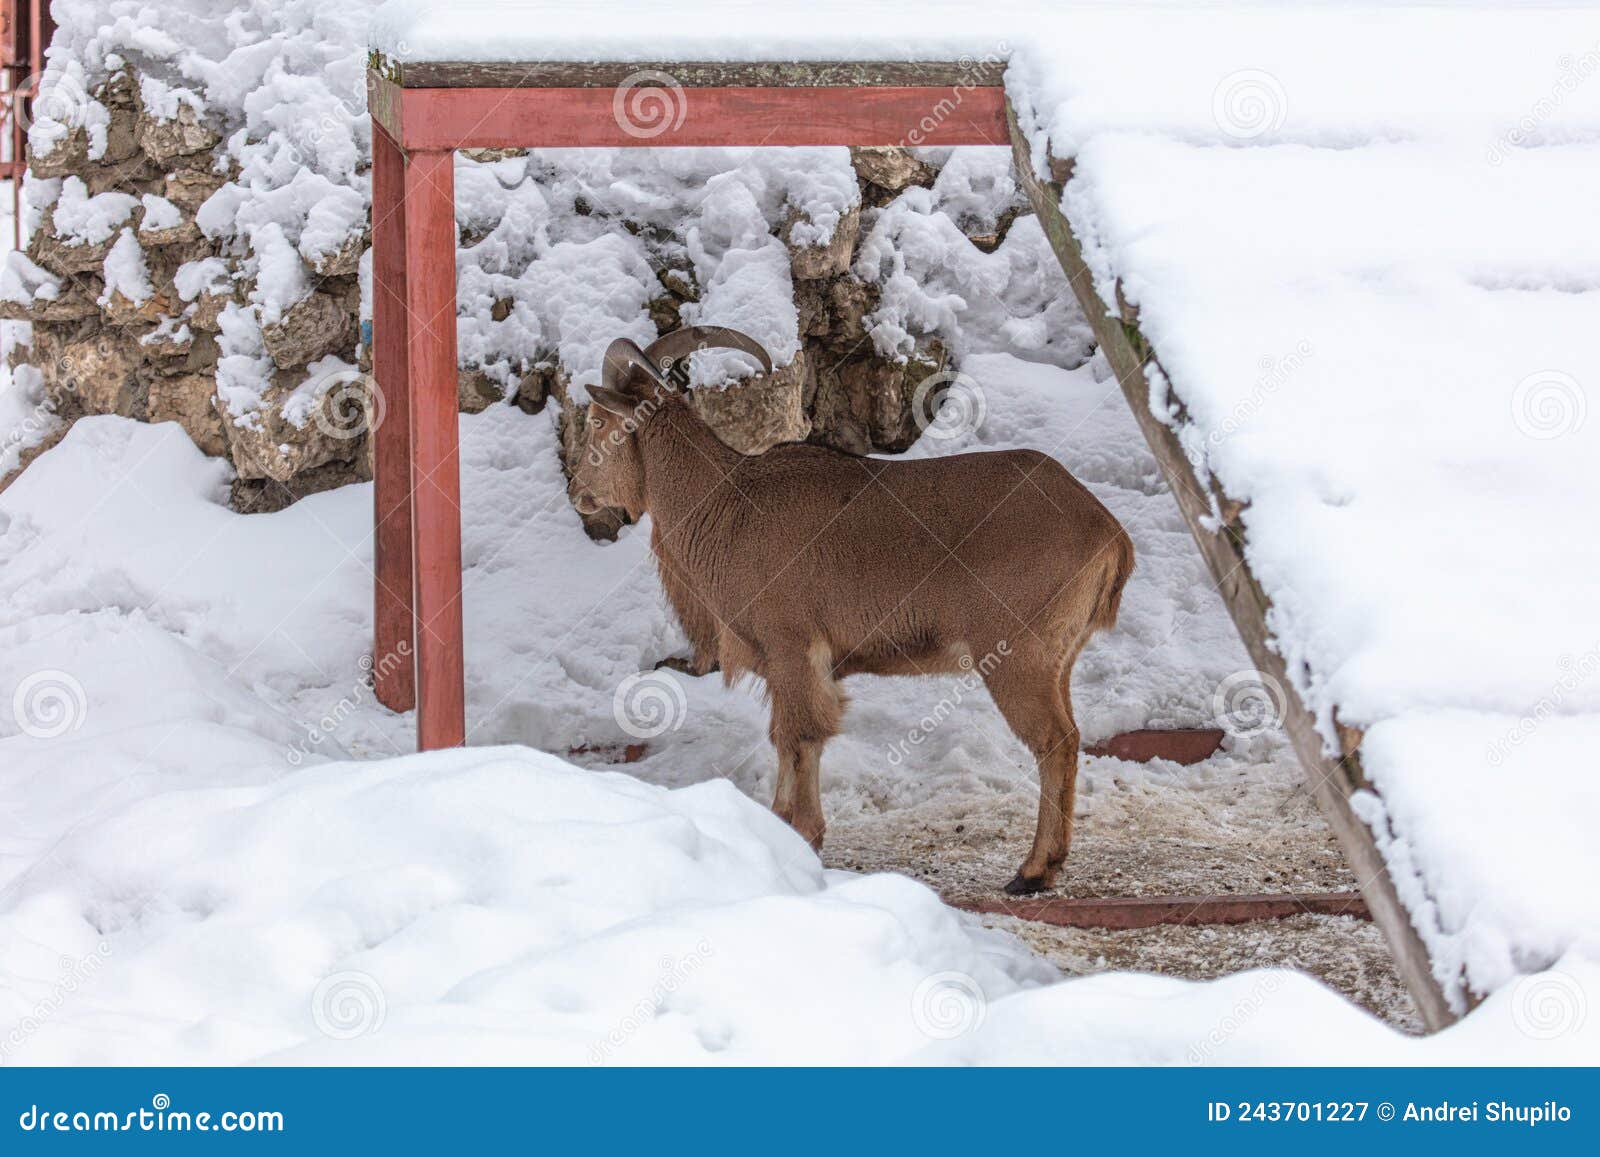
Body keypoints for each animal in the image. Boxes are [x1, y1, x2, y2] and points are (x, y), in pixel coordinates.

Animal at [570, 326, 1134, 894]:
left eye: (597, 421)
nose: (577, 491)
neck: (725, 506)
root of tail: (1109, 532)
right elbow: (789, 741)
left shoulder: (792, 649)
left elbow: (799, 737)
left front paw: (803, 835)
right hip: (1058, 663)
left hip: (1019, 659)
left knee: (1056, 743)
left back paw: (1033, 871)